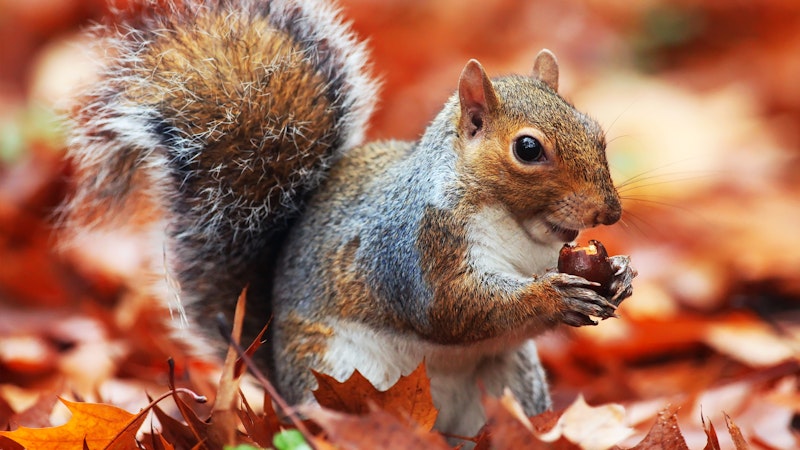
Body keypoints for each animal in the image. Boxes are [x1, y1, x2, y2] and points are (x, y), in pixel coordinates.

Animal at [63, 0, 635, 439]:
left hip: (510, 382)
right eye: (528, 149)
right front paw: (553, 296)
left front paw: (621, 275)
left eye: (594, 131)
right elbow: (451, 308)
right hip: (337, 376)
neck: (520, 230)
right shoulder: (412, 248)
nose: (608, 211)